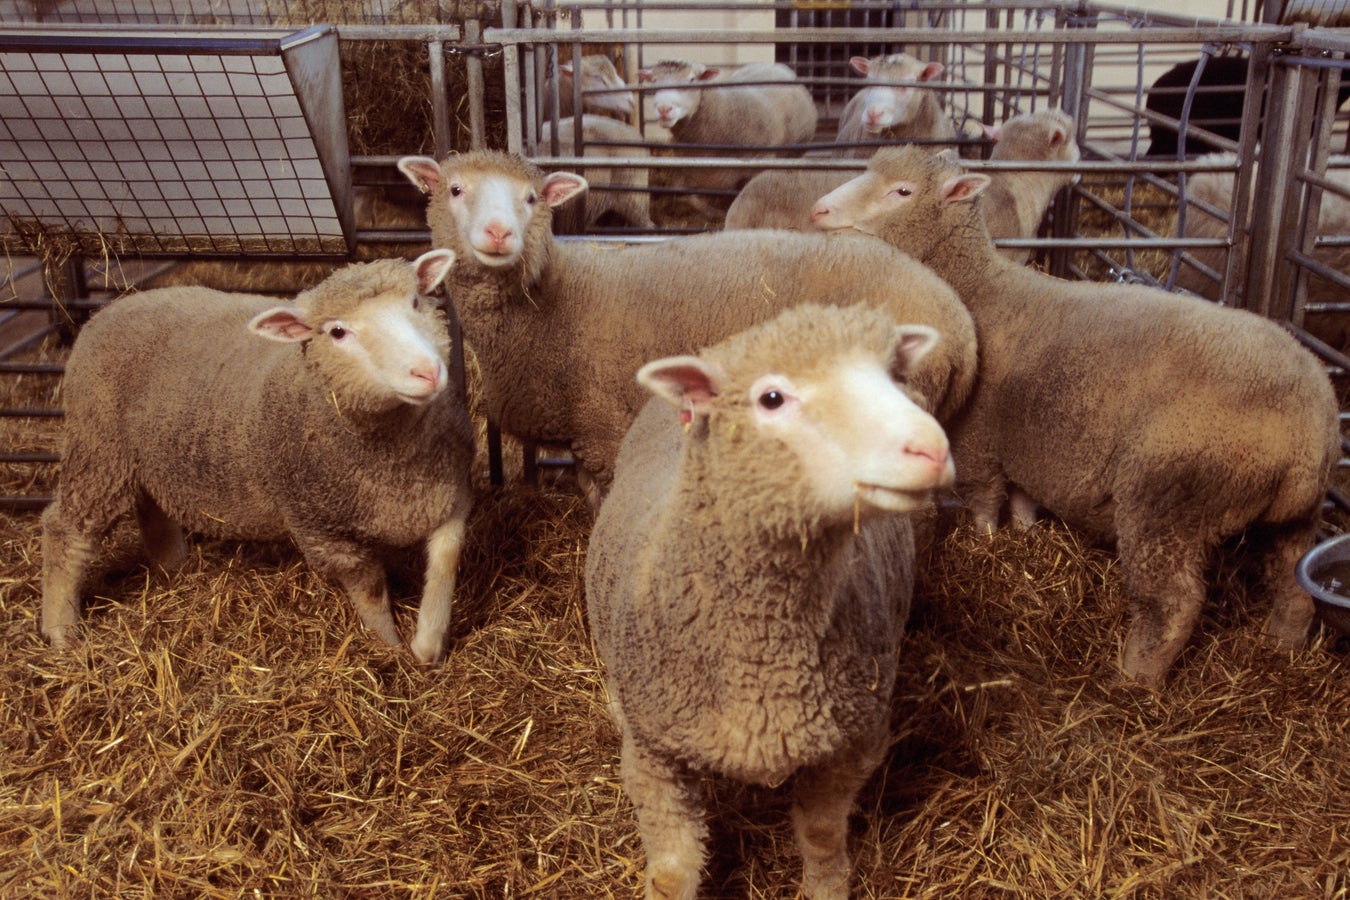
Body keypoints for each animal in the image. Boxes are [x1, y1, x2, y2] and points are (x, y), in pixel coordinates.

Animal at [40, 250, 475, 665]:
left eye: (416, 301)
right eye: (337, 331)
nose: (427, 372)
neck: (395, 460)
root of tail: (111, 308)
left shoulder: (450, 495)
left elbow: (446, 559)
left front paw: (428, 645)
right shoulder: (325, 534)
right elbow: (370, 596)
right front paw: (389, 649)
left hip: (146, 459)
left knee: (152, 512)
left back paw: (174, 569)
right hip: (98, 452)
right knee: (65, 531)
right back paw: (62, 631)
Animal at [396, 150, 976, 507]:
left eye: (532, 198)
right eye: (454, 189)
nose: (499, 233)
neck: (552, 299)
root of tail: (958, 318)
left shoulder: (606, 430)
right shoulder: (585, 434)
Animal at [585, 301, 955, 900]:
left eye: (894, 374)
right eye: (772, 398)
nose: (932, 448)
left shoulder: (852, 746)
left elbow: (823, 836)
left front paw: (827, 887)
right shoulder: (655, 758)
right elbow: (672, 870)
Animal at [638, 59, 818, 214]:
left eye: (691, 79)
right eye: (654, 80)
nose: (664, 109)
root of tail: (773, 65)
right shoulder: (689, 171)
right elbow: (690, 199)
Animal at [810, 145, 1341, 687]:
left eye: (902, 191)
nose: (818, 211)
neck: (977, 288)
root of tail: (1310, 422)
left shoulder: (976, 437)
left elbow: (984, 502)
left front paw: (986, 543)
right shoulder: (1030, 444)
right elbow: (1024, 500)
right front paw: (1025, 535)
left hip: (1169, 499)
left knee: (1172, 604)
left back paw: (1134, 680)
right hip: (1294, 515)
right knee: (1291, 580)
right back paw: (1282, 645)